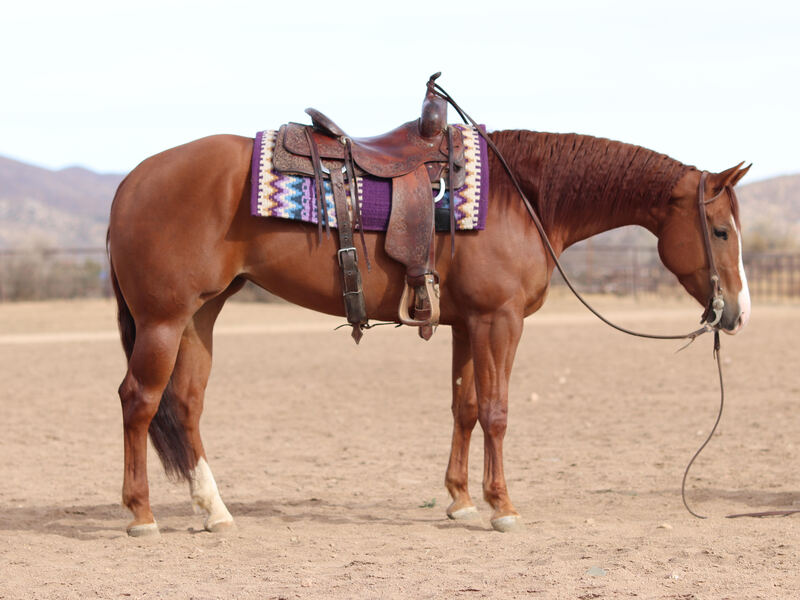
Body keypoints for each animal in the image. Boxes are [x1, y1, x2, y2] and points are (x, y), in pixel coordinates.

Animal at [107, 128, 751, 536]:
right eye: (720, 231)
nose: (736, 313)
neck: (520, 197)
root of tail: (133, 179)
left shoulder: (468, 324)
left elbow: (464, 408)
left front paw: (460, 502)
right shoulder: (499, 320)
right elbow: (496, 410)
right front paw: (502, 507)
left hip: (201, 316)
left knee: (186, 405)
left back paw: (213, 510)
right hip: (164, 321)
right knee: (139, 402)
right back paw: (141, 515)